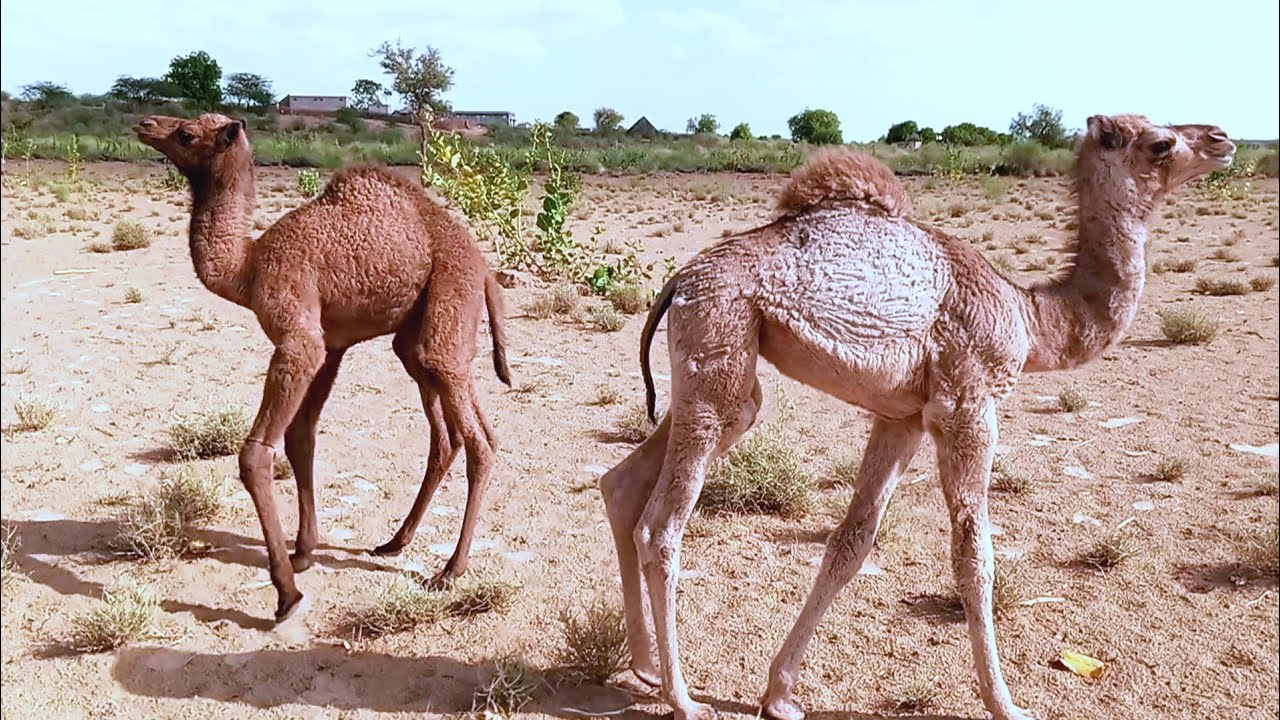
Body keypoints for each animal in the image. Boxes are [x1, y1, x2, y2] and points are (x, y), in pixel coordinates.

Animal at [135, 114, 511, 621]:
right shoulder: (330, 346)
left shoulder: (300, 339)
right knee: (453, 431)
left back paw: (450, 570)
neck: (248, 268)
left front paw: (286, 591)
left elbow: (256, 454)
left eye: (187, 135)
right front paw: (304, 551)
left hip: (449, 302)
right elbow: (301, 438)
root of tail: (484, 267)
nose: (145, 123)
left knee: (477, 443)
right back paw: (395, 542)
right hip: (425, 336)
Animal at [600, 114, 1234, 720]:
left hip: (721, 377)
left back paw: (645, 666)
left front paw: (780, 694)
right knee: (662, 527)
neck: (1030, 320)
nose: (1222, 139)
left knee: (624, 481)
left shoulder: (900, 418)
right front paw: (1006, 704)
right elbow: (975, 558)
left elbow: (851, 543)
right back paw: (683, 699)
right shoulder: (968, 405)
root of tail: (679, 280)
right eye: (1159, 143)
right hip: (719, 340)